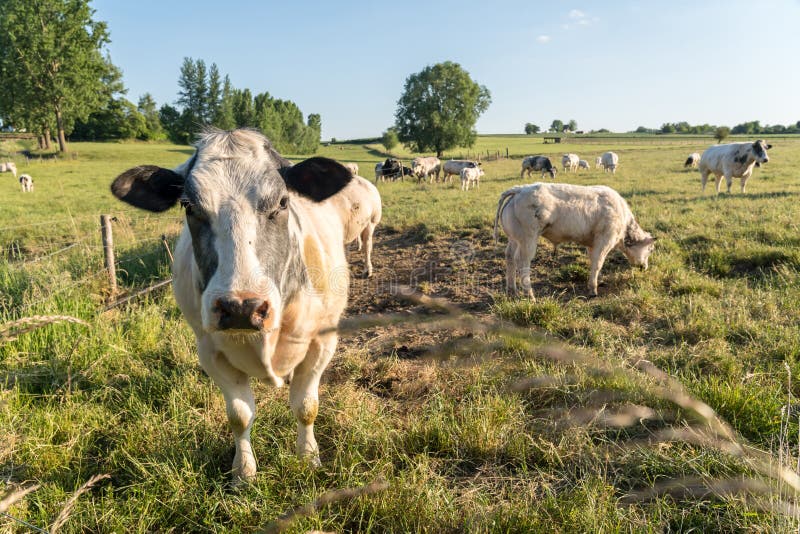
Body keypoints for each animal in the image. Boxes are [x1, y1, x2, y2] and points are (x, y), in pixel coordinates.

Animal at [110, 128, 353, 483]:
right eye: (188, 206)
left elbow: (306, 407)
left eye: (282, 202)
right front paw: (243, 471)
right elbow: (240, 415)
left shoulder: (323, 342)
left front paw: (308, 457)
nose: (241, 307)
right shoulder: (210, 352)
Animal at [494, 182, 655, 298]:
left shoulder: (592, 244)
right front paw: (593, 290)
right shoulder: (604, 241)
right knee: (522, 261)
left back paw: (512, 291)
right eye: (650, 250)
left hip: (515, 239)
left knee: (509, 257)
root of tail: (520, 189)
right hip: (528, 239)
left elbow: (594, 263)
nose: (645, 267)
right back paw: (529, 295)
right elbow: (598, 263)